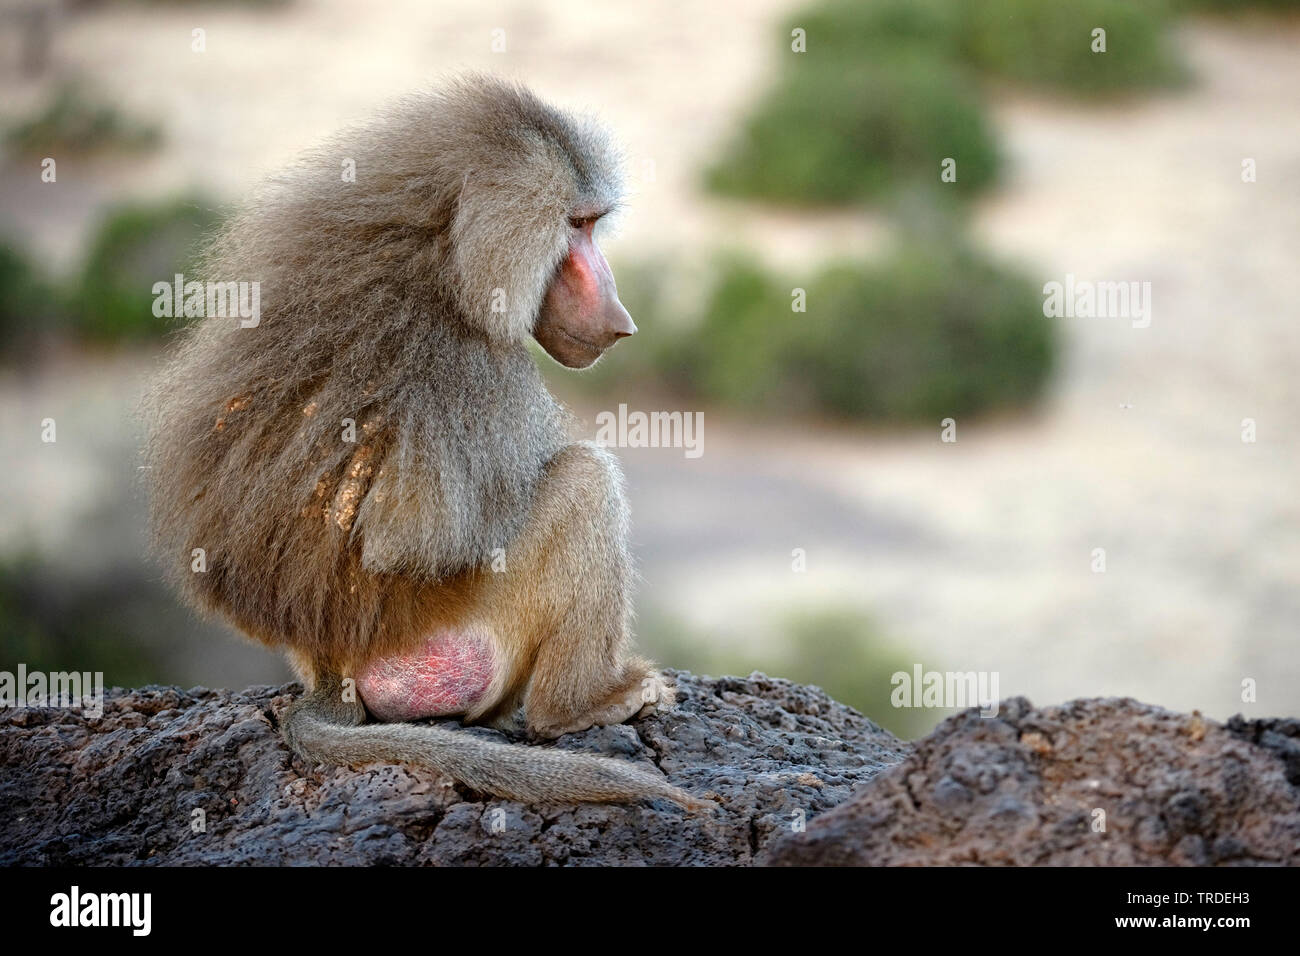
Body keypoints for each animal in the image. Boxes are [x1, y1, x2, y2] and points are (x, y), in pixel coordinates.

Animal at [143, 75, 710, 810]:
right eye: (578, 227)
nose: (622, 318)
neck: (437, 248)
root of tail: (327, 666)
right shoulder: (482, 368)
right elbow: (421, 541)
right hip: (453, 631)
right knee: (585, 481)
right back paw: (579, 706)